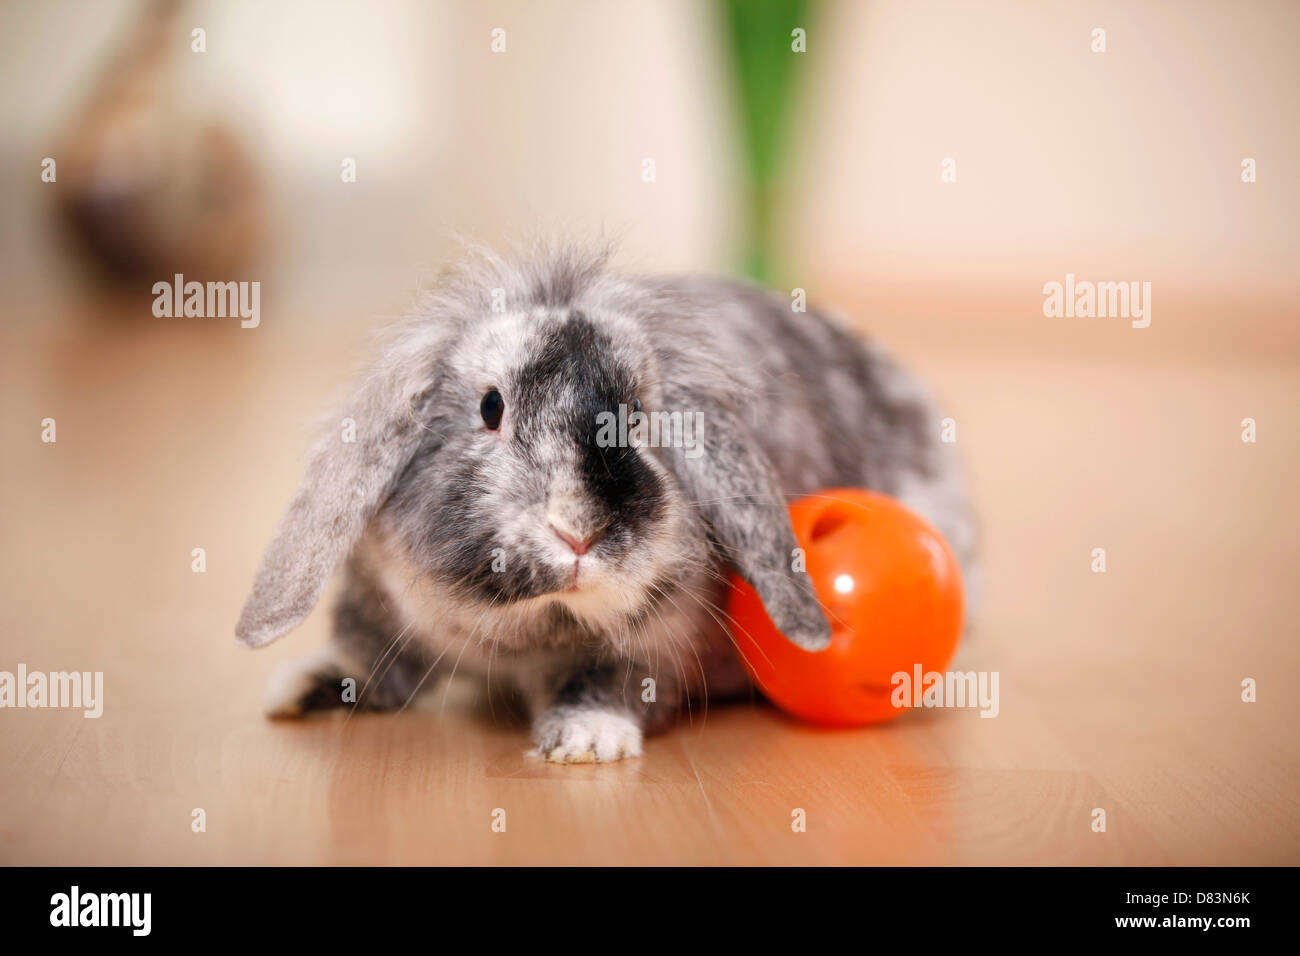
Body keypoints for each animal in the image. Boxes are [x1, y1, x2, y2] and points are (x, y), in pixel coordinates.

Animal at [236, 241, 976, 763]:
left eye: (642, 417)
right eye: (491, 408)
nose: (579, 531)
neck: (522, 635)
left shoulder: (653, 648)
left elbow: (605, 685)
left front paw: (585, 743)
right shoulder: (376, 601)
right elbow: (370, 657)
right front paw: (301, 690)